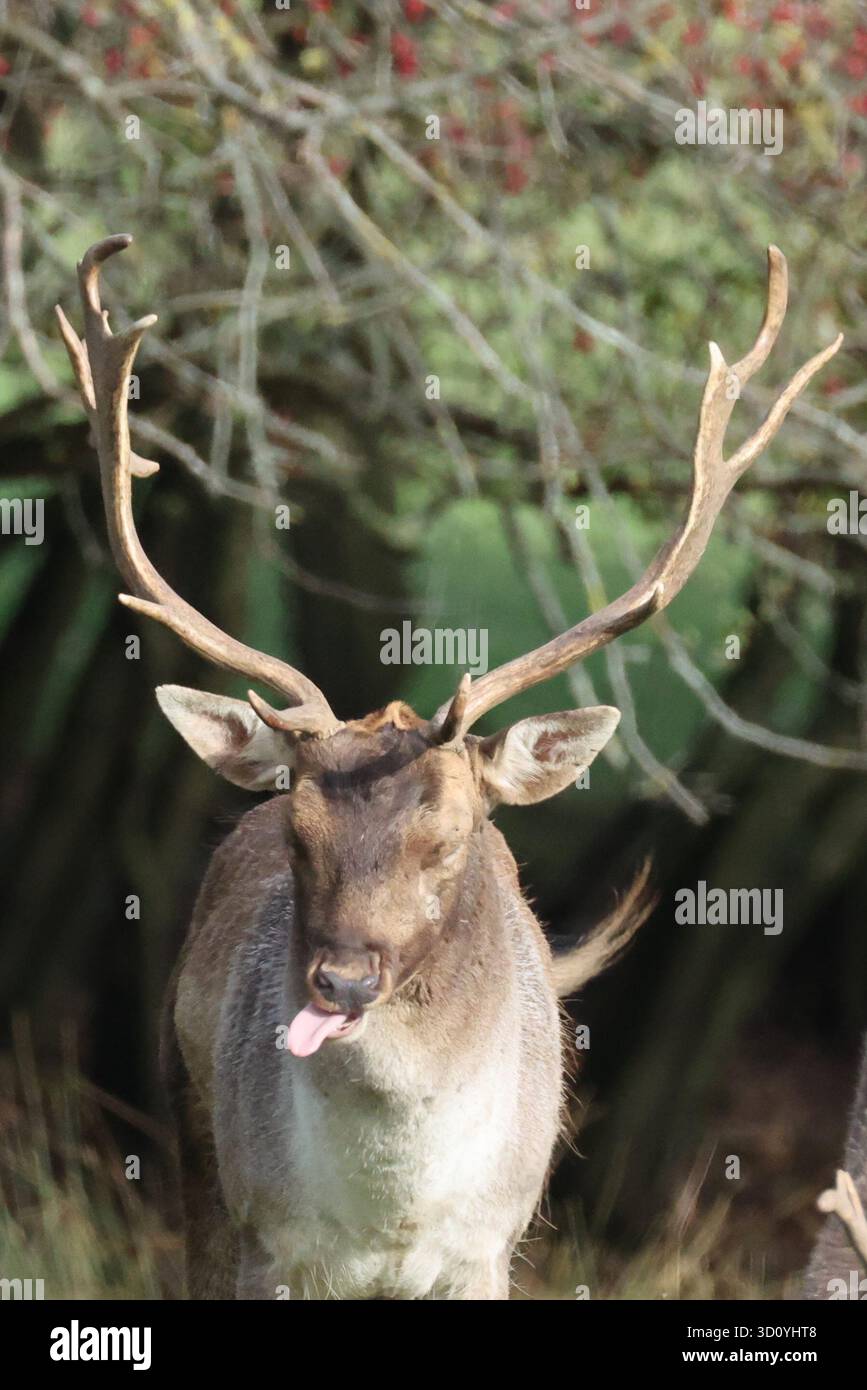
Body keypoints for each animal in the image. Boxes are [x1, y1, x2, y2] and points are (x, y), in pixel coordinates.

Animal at [56, 236, 841, 1300]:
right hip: (194, 1152)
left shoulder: (488, 1246)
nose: (341, 982)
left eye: (451, 835)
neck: (394, 1214)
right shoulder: (267, 1238)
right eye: (297, 831)